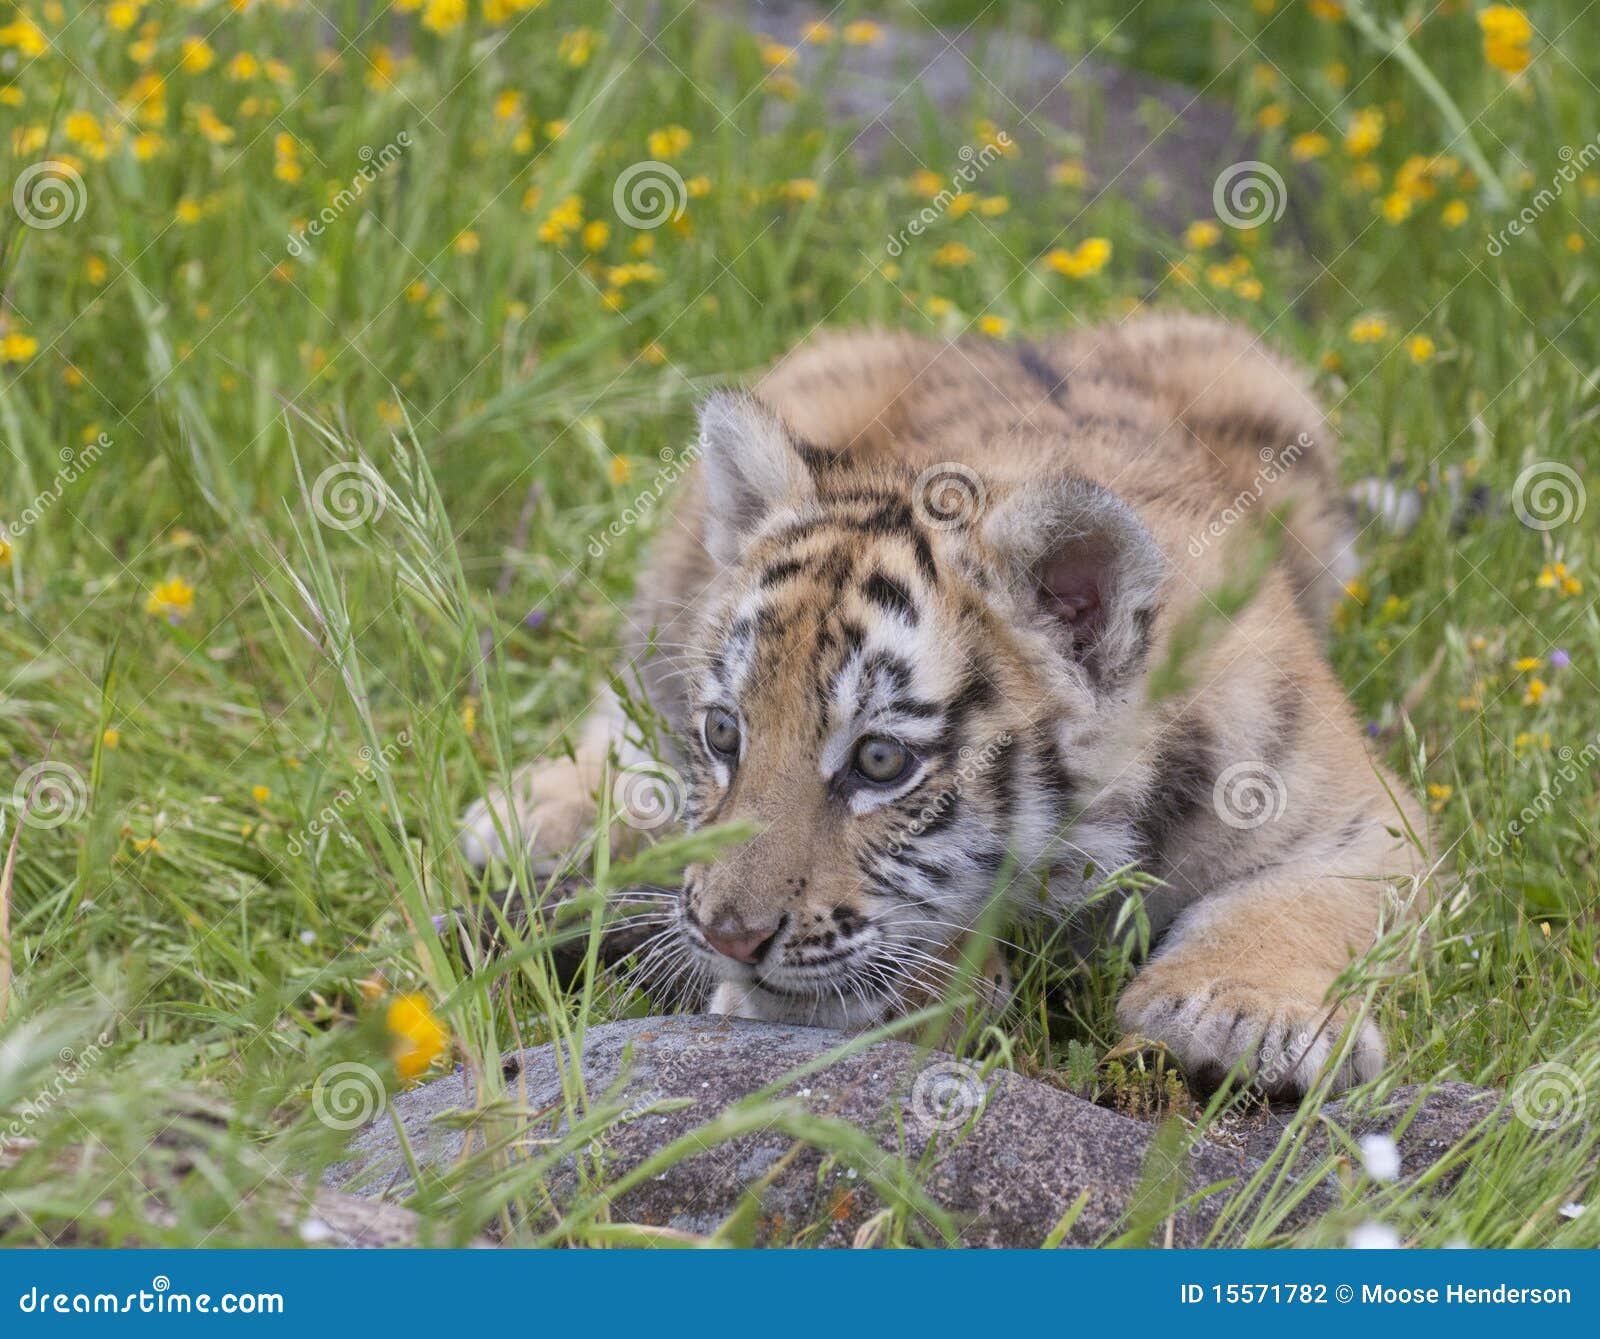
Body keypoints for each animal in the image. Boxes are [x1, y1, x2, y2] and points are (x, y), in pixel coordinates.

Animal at [460, 314, 1429, 1098]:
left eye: (881, 760)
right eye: (725, 733)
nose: (727, 937)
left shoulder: (1364, 813)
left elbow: (1300, 903)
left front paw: (1238, 1012)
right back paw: (533, 814)